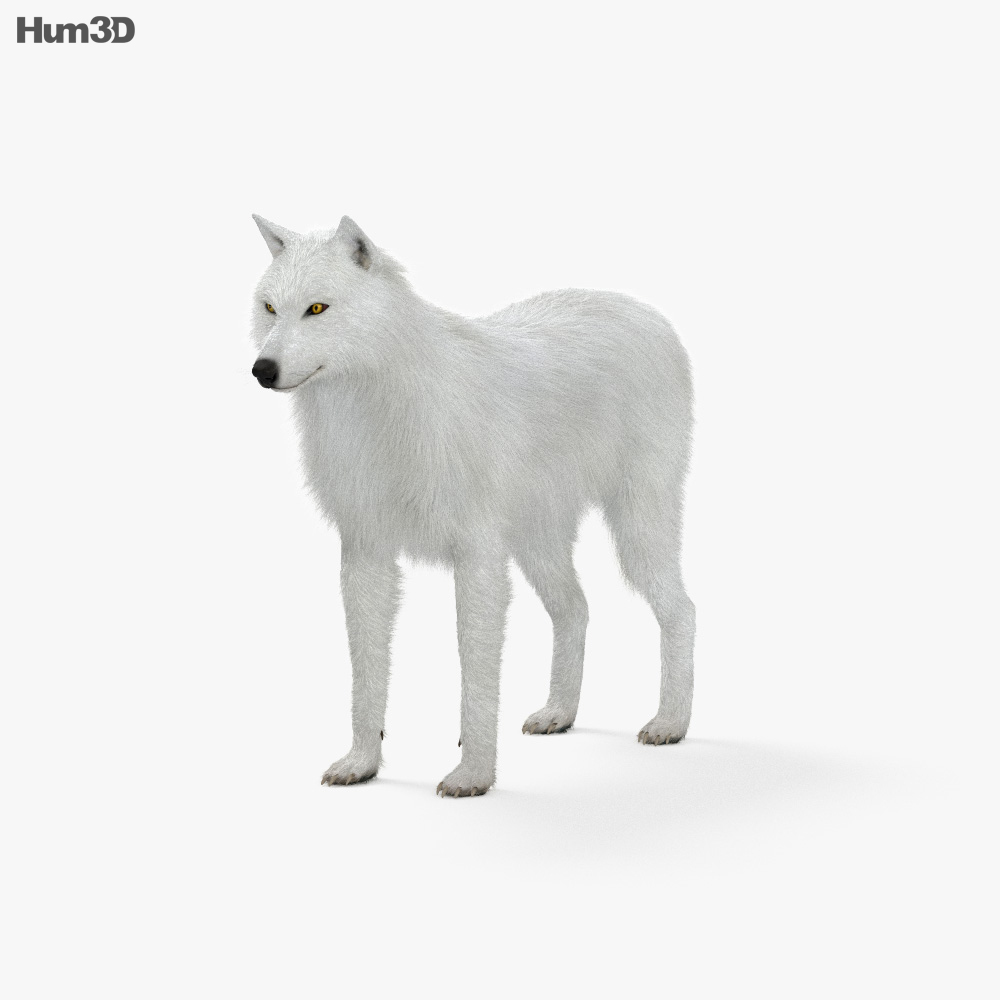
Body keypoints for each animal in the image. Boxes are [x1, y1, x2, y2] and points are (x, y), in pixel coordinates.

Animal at [249, 215, 695, 797]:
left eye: (317, 308)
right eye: (270, 308)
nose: (261, 369)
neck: (377, 411)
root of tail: (645, 311)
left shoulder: (478, 559)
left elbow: (476, 672)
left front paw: (473, 774)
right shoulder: (365, 556)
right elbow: (365, 673)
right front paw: (361, 763)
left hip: (637, 530)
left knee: (682, 610)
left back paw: (671, 723)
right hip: (539, 544)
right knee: (576, 608)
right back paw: (559, 713)